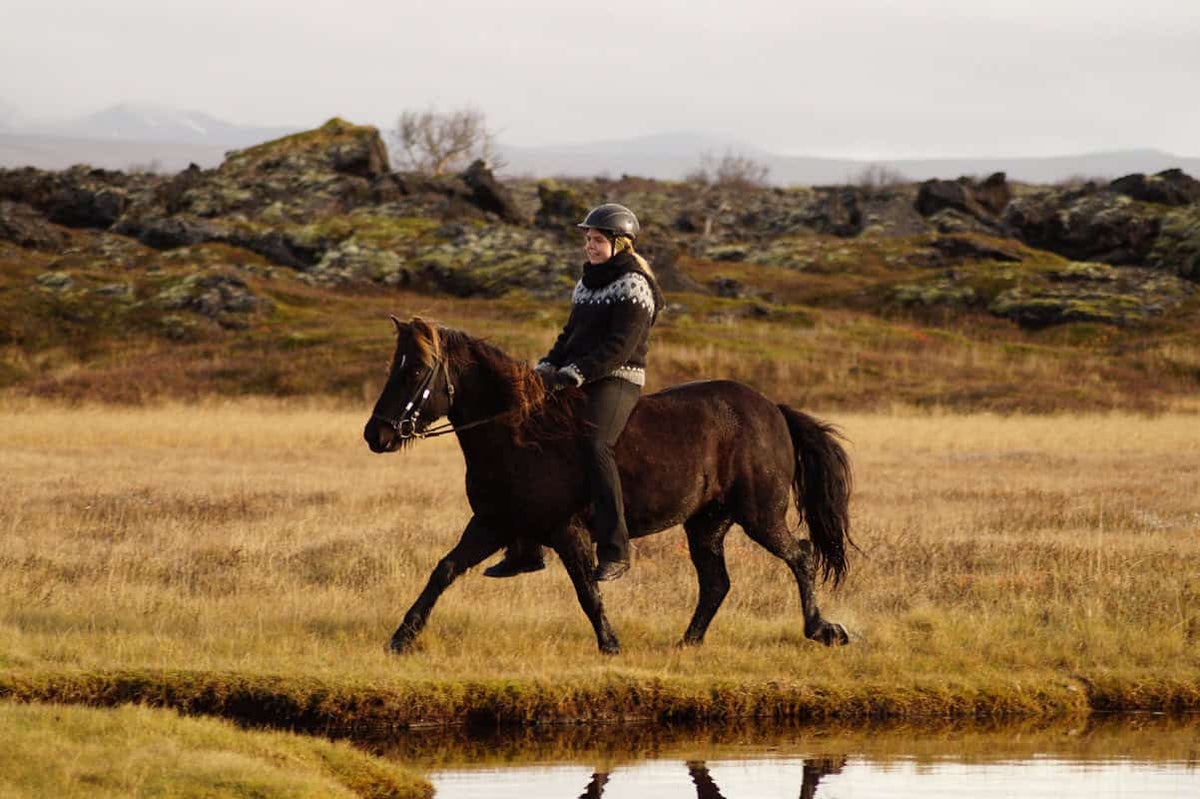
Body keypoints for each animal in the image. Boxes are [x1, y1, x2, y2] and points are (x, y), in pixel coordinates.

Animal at [363, 316, 854, 654]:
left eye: (417, 371)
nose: (377, 434)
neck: (520, 432)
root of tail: (772, 408)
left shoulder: (567, 532)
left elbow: (587, 591)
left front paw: (610, 645)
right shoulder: (491, 524)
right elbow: (443, 571)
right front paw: (401, 638)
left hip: (760, 516)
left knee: (801, 556)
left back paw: (822, 629)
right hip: (706, 523)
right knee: (716, 583)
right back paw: (687, 643)